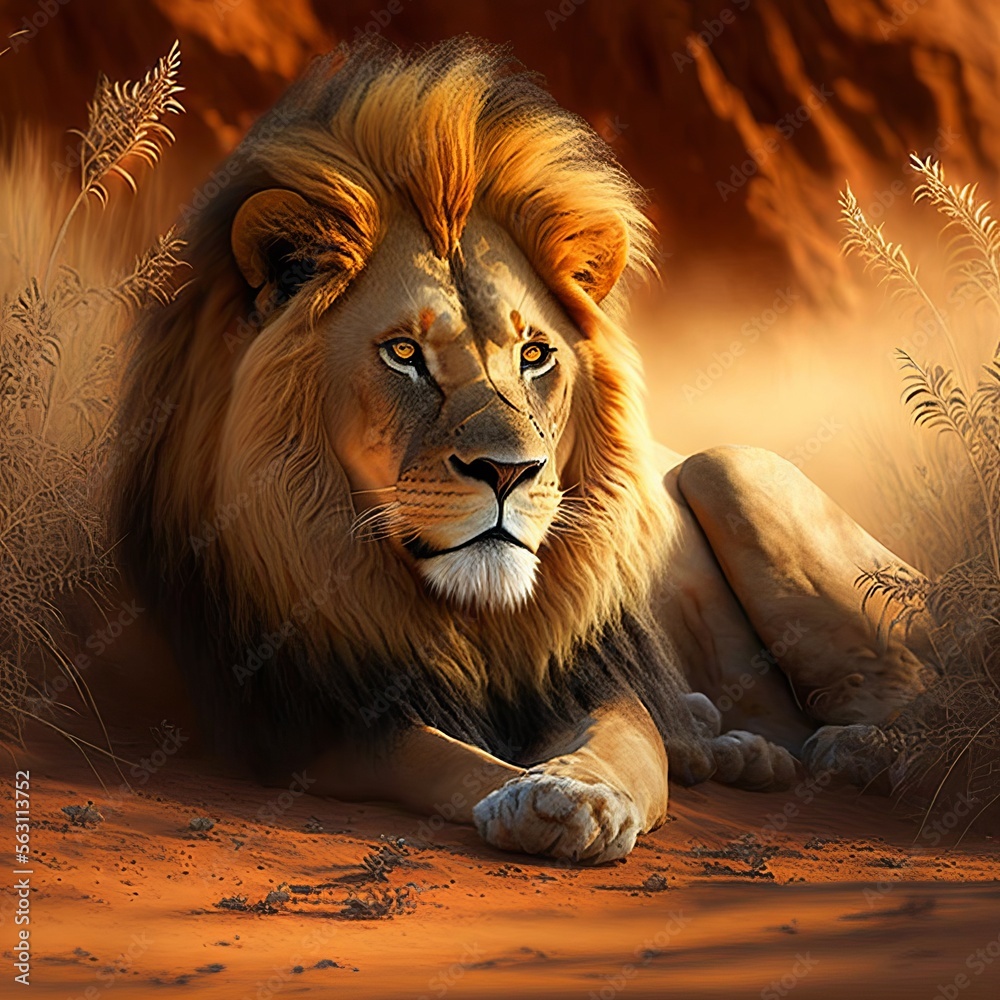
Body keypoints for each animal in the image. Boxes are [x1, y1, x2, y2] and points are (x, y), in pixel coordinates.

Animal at [111, 37, 934, 863]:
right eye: (404, 353)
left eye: (534, 355)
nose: (509, 473)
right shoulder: (308, 713)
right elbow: (436, 755)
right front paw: (535, 797)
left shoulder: (592, 678)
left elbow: (621, 747)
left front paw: (577, 797)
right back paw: (729, 747)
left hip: (730, 468)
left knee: (919, 687)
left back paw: (858, 751)